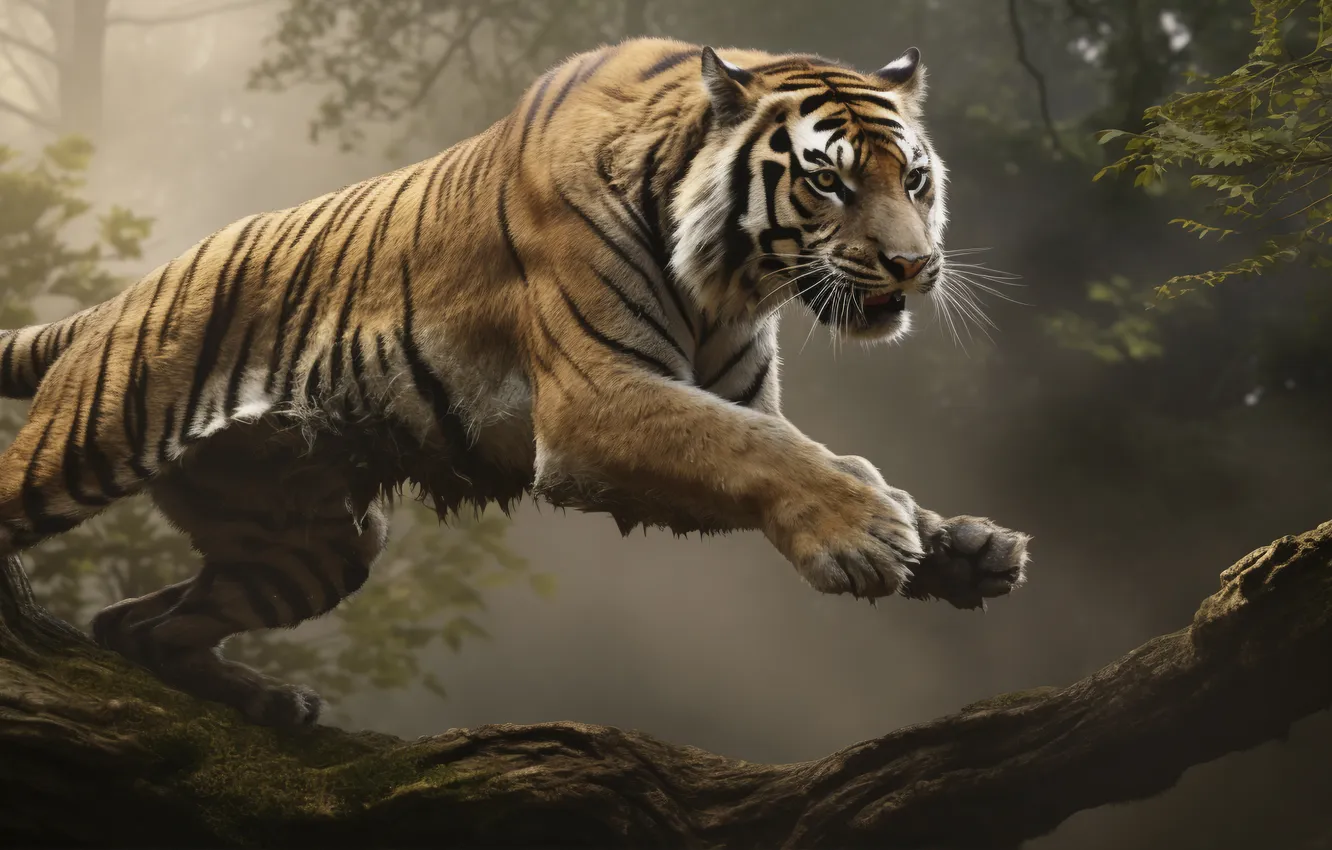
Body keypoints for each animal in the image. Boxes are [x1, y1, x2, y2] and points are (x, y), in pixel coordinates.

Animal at [0, 38, 1030, 727]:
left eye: (917, 179)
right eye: (829, 182)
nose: (913, 267)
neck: (735, 286)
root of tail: (115, 303)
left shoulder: (728, 391)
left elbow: (810, 452)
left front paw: (961, 545)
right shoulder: (600, 397)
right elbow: (770, 451)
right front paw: (867, 537)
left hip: (316, 544)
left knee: (134, 625)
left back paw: (270, 700)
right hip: (86, 445)